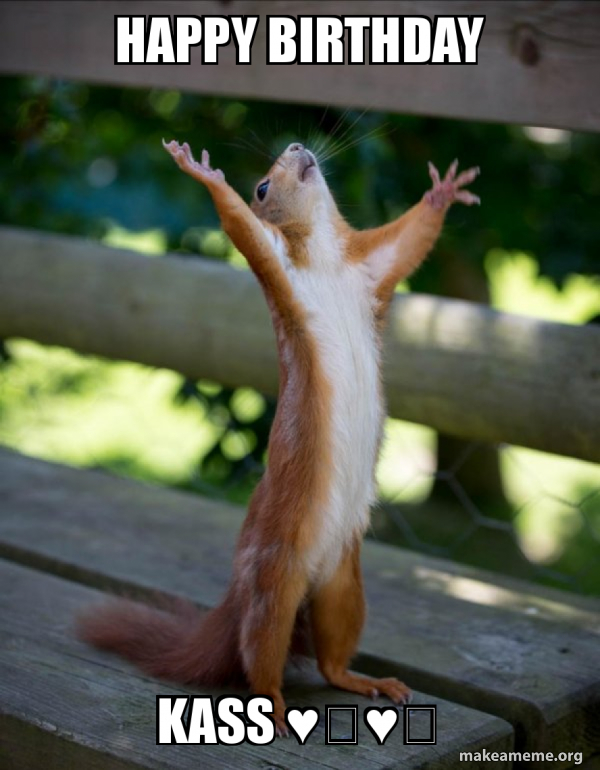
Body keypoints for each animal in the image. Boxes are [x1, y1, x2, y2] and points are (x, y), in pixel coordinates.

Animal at [78, 138, 479, 736]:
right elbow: (240, 226)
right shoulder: (277, 266)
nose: (296, 146)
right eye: (262, 187)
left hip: (344, 585)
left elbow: (409, 241)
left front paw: (443, 192)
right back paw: (278, 707)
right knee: (259, 658)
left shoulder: (372, 267)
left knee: (332, 658)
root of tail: (239, 594)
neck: (327, 257)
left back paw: (365, 680)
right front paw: (204, 174)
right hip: (274, 583)